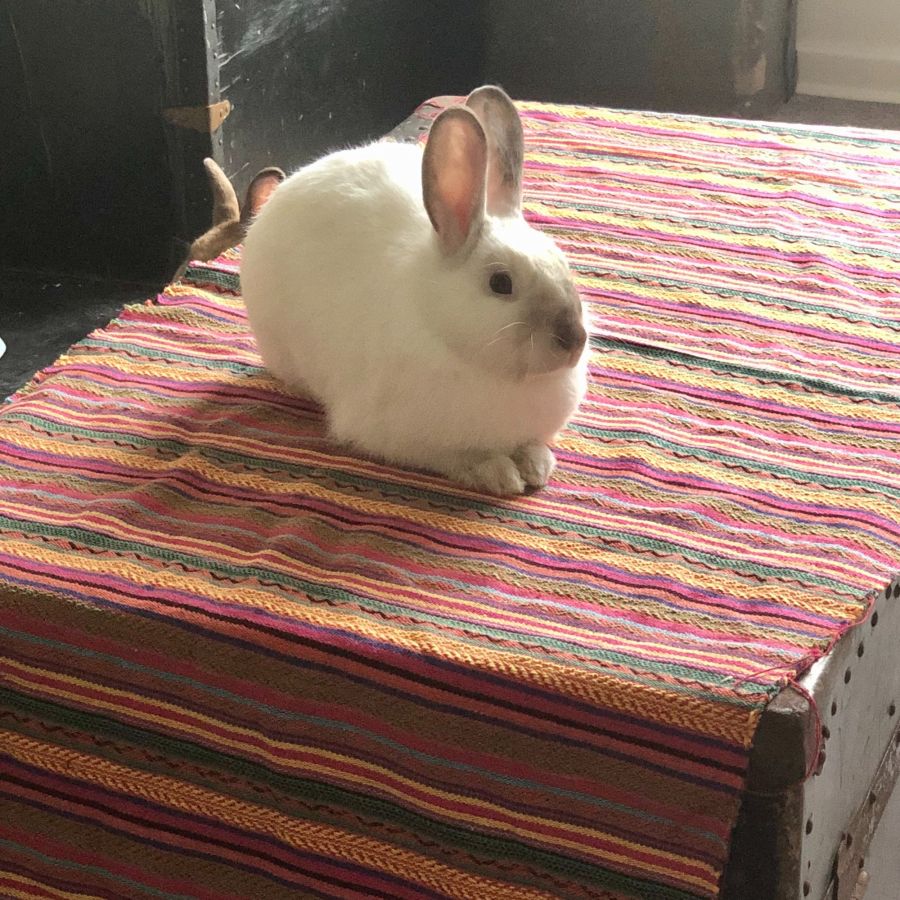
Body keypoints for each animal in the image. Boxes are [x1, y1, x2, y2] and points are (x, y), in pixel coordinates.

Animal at [240, 86, 588, 497]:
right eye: (501, 283)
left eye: (563, 262)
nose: (574, 340)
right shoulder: (400, 437)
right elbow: (456, 456)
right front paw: (498, 473)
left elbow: (530, 446)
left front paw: (537, 465)